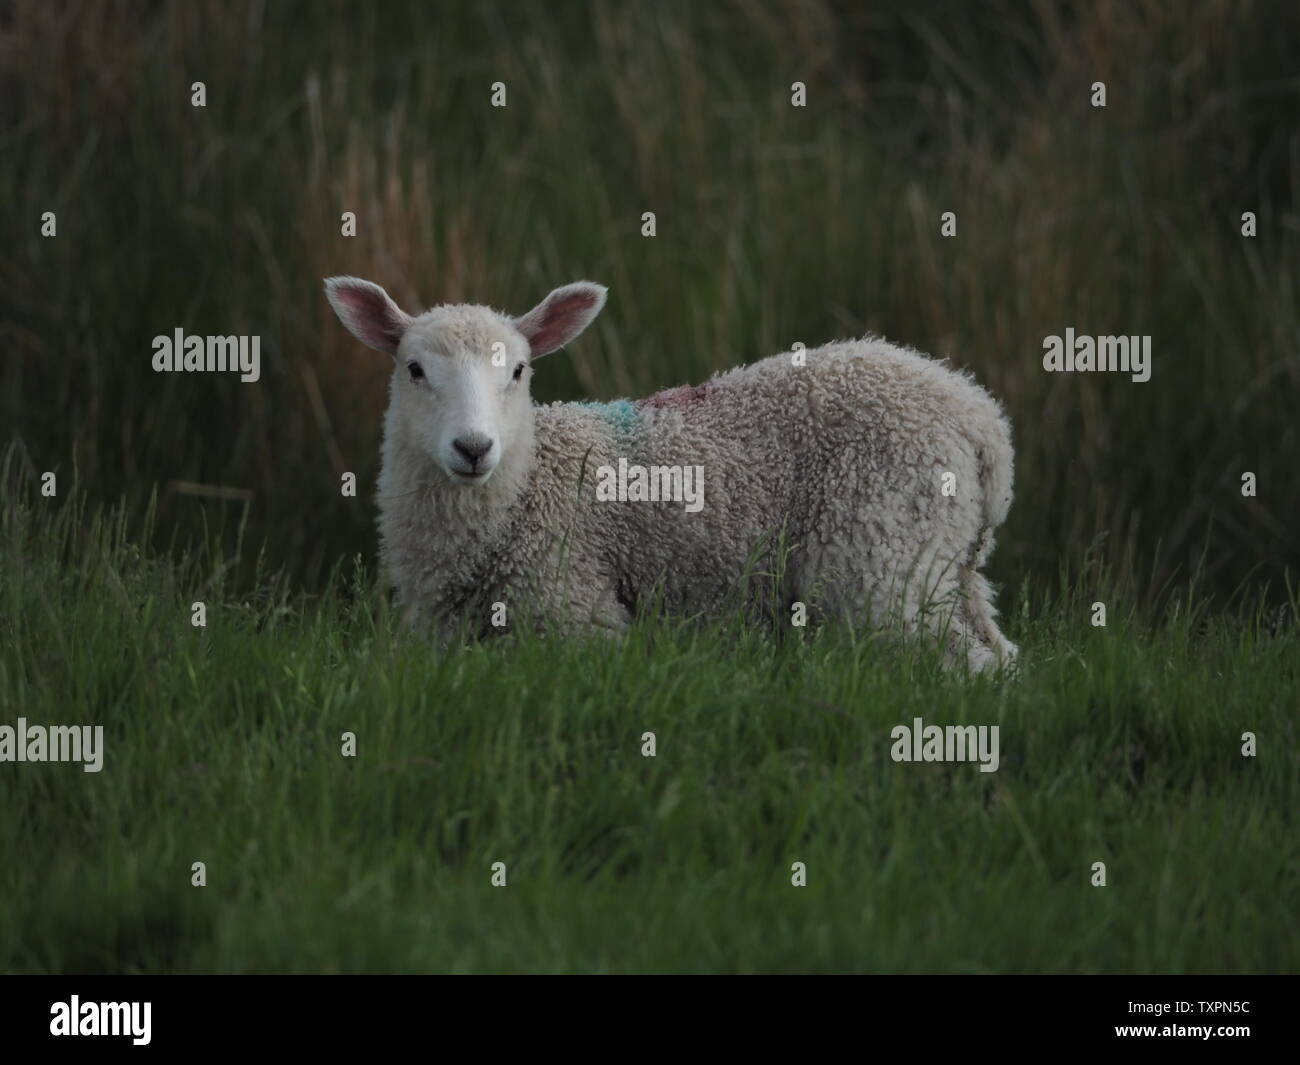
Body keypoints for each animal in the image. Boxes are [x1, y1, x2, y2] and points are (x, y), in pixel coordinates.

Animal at [324, 276, 1018, 671]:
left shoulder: (576, 613)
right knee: (1002, 656)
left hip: (882, 548)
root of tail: (981, 420)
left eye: (518, 371)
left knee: (966, 663)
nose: (474, 447)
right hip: (948, 562)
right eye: (414, 369)